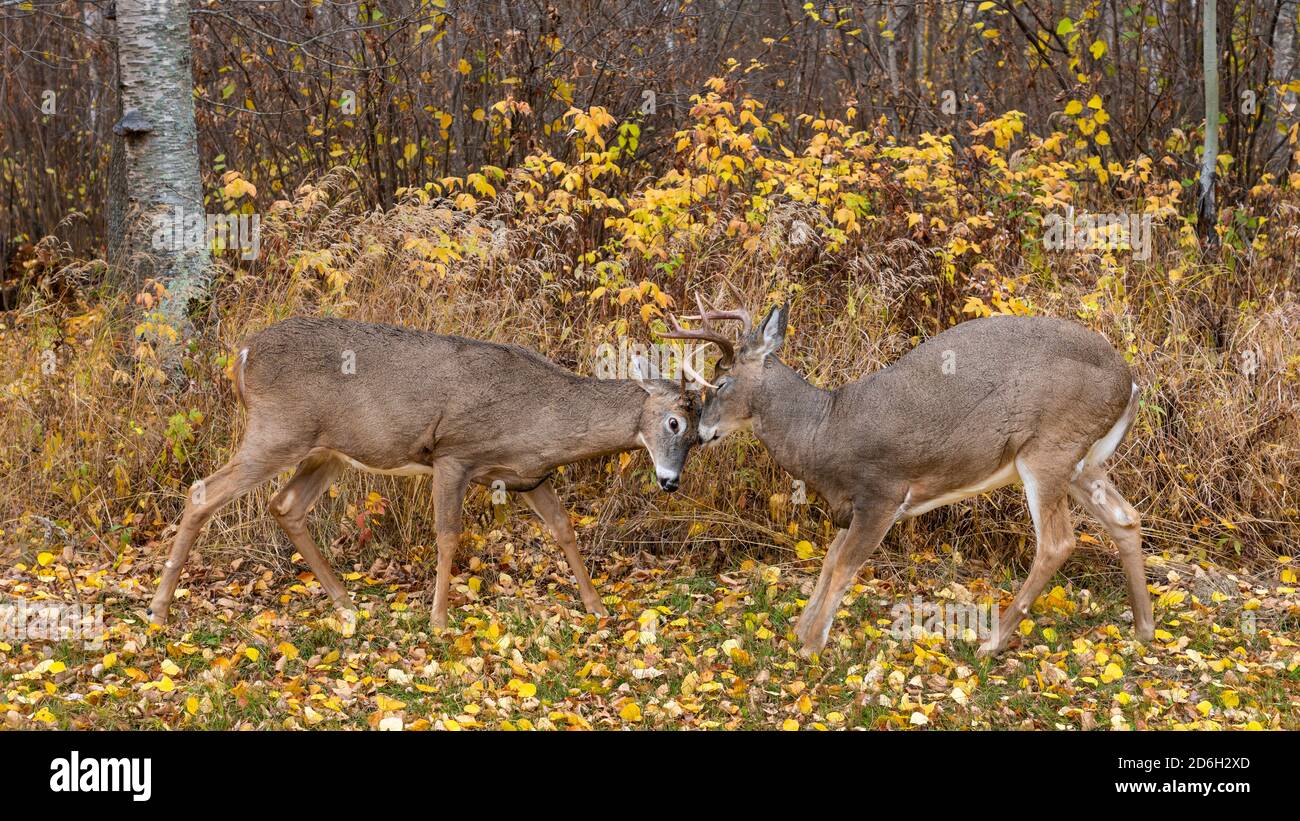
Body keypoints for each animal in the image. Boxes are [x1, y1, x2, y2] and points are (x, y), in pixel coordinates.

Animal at [147, 316, 702, 628]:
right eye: (674, 421)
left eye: (700, 436)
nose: (670, 482)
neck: (541, 417)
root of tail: (242, 355)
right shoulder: (454, 455)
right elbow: (448, 535)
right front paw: (437, 620)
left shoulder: (527, 475)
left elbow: (564, 528)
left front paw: (597, 608)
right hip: (277, 429)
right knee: (202, 493)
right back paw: (158, 610)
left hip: (325, 451)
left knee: (285, 506)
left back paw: (345, 603)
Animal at [665, 298, 1153, 657]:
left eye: (721, 382)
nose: (701, 433)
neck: (822, 429)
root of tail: (1129, 382)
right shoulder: (852, 506)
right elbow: (830, 558)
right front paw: (803, 630)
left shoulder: (882, 491)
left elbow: (845, 564)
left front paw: (811, 645)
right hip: (1082, 461)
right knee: (1126, 518)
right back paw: (1144, 628)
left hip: (1048, 449)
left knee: (1058, 542)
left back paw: (990, 644)